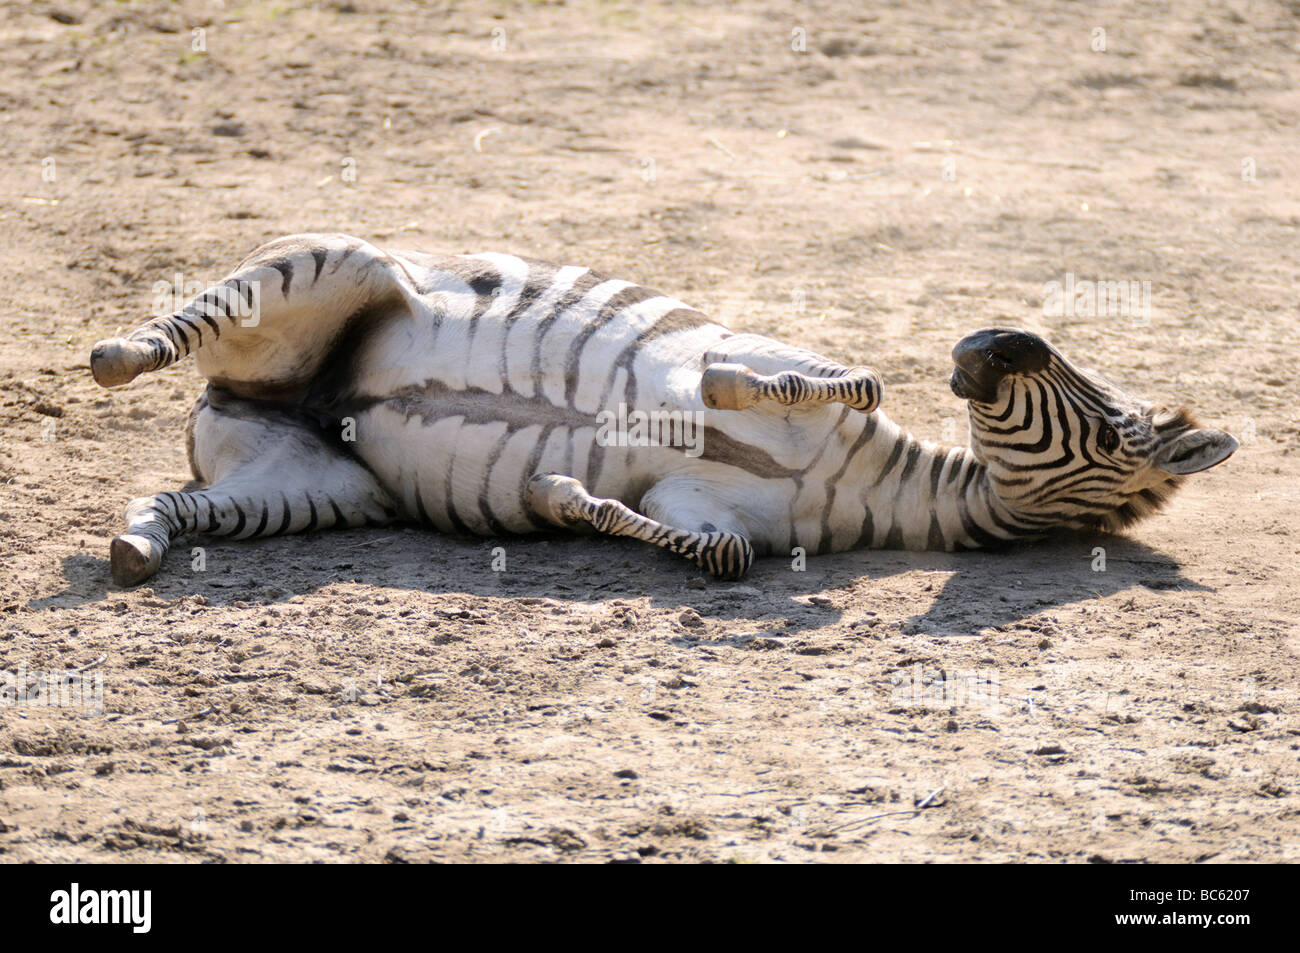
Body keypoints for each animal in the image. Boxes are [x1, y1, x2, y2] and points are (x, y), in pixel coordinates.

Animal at [89, 233, 1238, 587]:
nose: (995, 339)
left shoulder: (711, 513)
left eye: (1118, 428)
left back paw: (136, 545)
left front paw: (560, 491)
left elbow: (711, 553)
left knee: (177, 502)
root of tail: (242, 392)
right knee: (175, 330)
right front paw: (742, 392)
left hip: (315, 485)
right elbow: (821, 375)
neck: (860, 479)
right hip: (340, 267)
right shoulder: (755, 349)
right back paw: (117, 351)